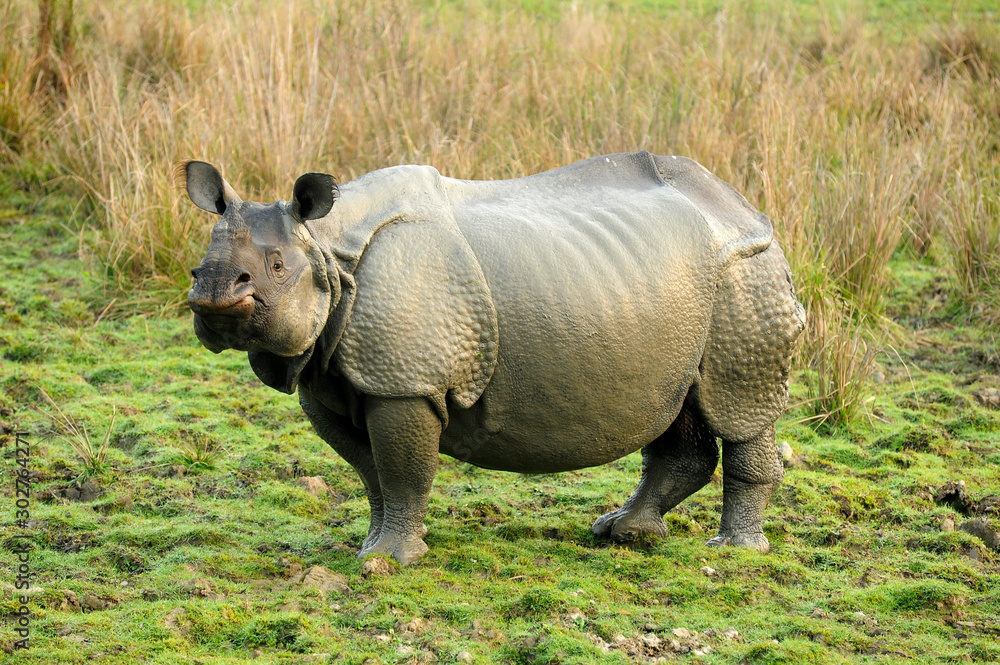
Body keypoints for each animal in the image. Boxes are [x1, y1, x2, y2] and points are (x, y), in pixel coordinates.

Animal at [182, 151, 805, 565]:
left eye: (277, 269)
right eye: (195, 267)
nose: (211, 292)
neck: (328, 249)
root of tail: (746, 207)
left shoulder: (404, 382)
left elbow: (402, 469)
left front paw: (391, 561)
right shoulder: (329, 376)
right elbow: (369, 472)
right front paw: (374, 547)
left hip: (745, 273)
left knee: (740, 405)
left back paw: (734, 551)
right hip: (678, 288)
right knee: (680, 406)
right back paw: (624, 533)